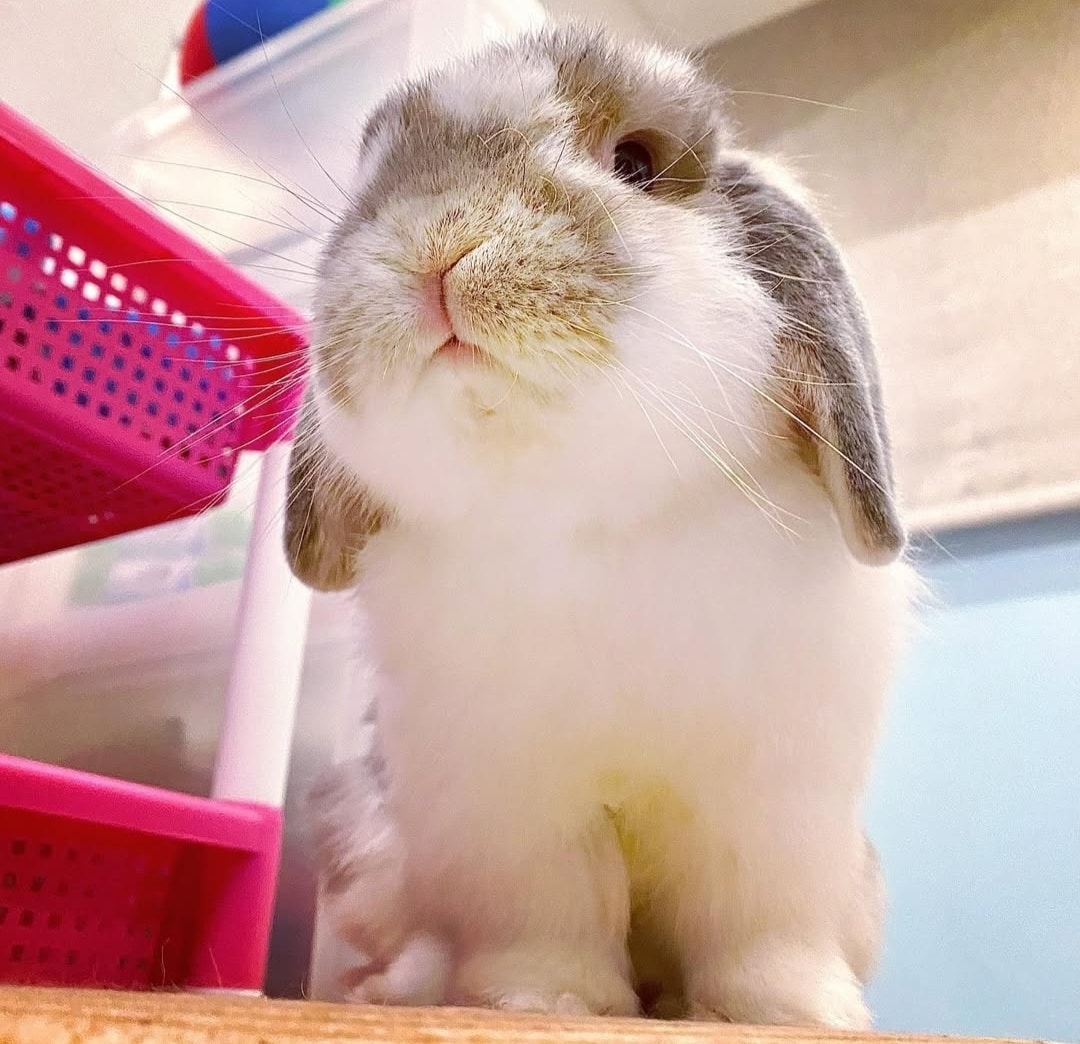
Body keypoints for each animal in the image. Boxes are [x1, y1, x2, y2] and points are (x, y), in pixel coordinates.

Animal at [287, 23, 916, 1028]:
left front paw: (787, 1015)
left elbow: (758, 927)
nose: (436, 247)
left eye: (637, 164)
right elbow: (551, 911)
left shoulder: (769, 804)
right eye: (370, 175)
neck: (582, 513)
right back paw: (404, 987)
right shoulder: (511, 806)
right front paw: (544, 1001)